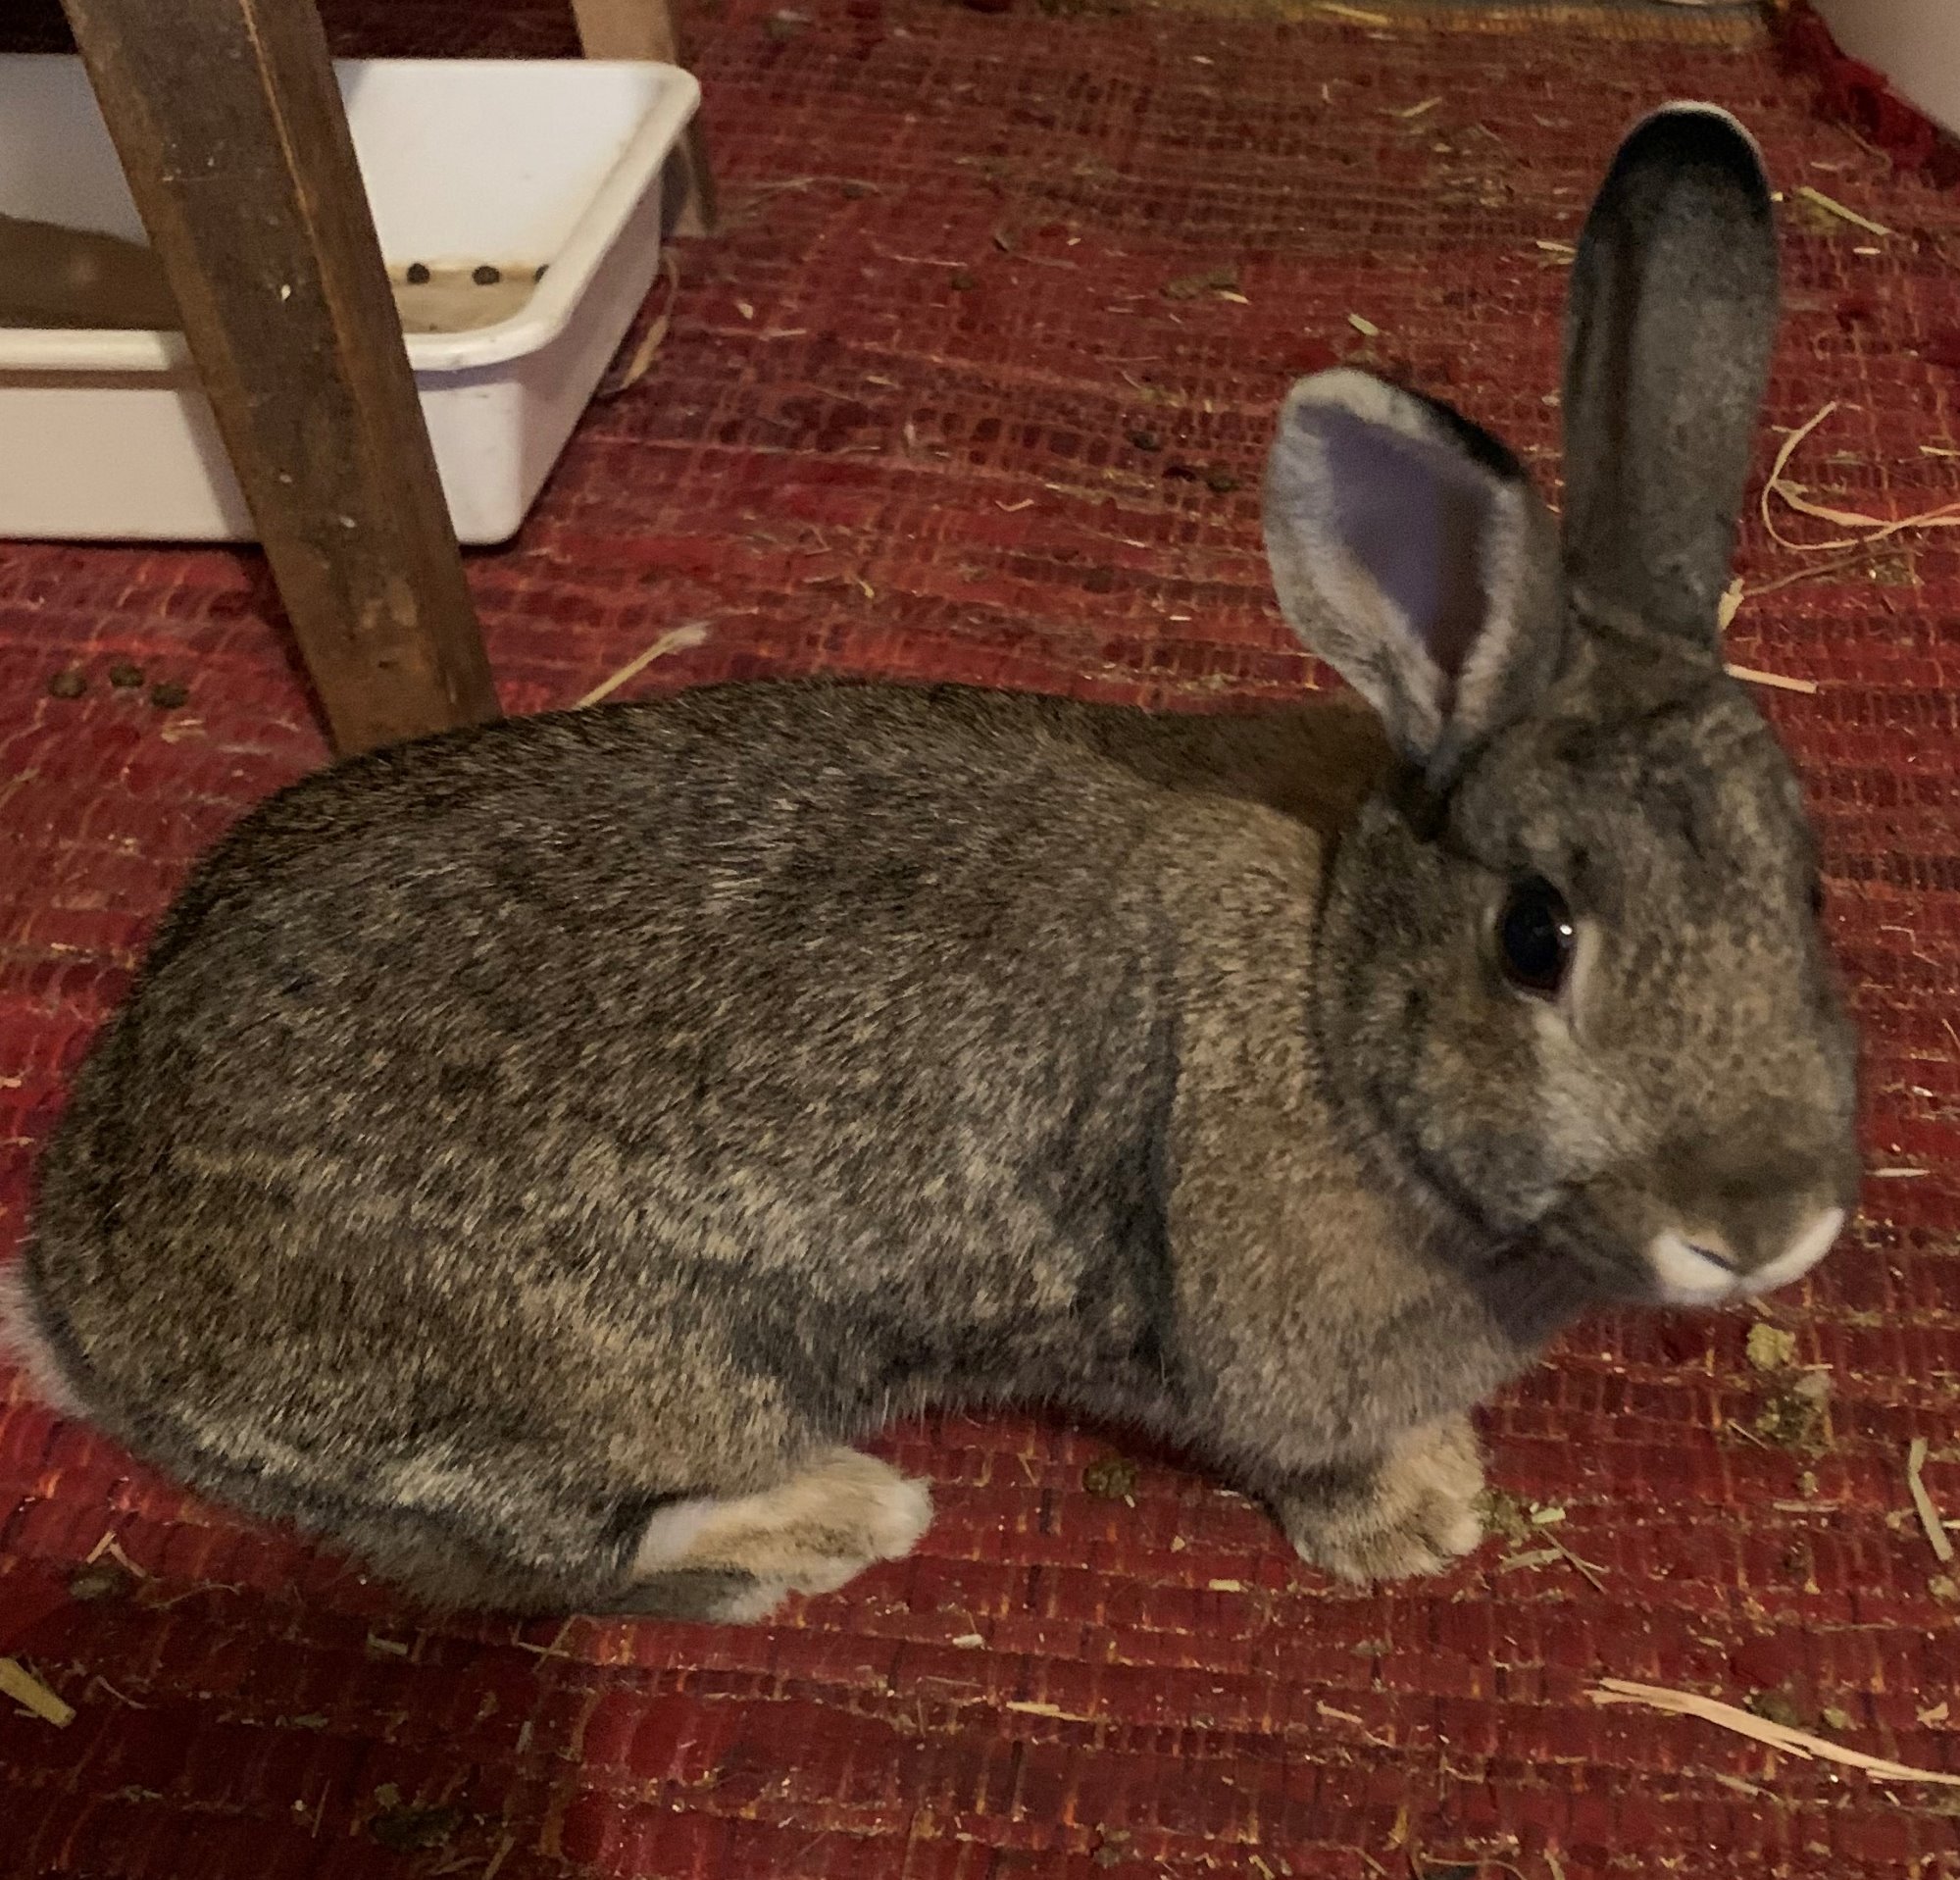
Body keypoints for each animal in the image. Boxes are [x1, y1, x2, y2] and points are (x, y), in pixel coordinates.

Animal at [4, 104, 1859, 1622]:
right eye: (1534, 936)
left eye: (1806, 887)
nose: (1763, 1229)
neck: (1340, 992)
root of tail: (80, 1275)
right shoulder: (1270, 1349)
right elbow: (1304, 1445)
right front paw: (1410, 1521)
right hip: (613, 1376)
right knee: (558, 1554)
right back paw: (841, 1518)